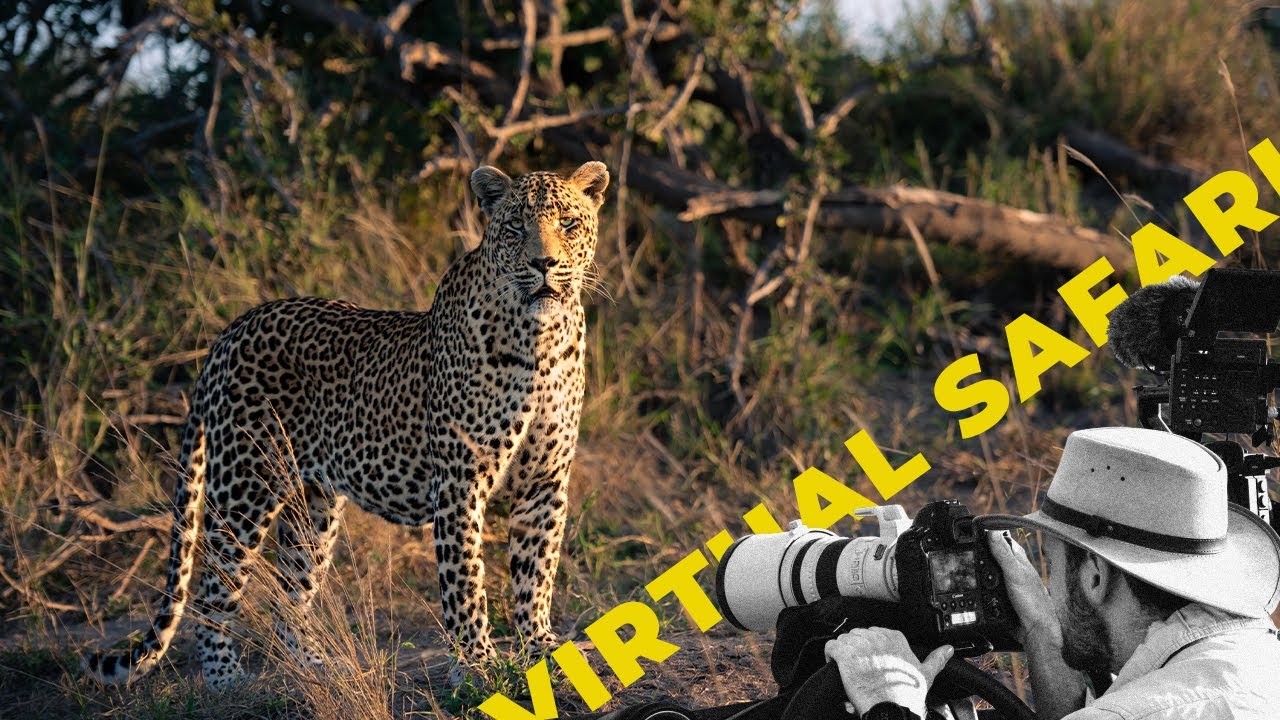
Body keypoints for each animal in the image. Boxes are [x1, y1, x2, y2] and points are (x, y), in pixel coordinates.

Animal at [84, 161, 610, 688]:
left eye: (567, 223)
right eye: (515, 226)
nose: (544, 264)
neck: (541, 338)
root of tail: (230, 330)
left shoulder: (545, 481)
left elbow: (537, 571)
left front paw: (541, 645)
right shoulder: (461, 480)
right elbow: (465, 578)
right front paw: (477, 662)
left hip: (312, 505)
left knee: (288, 595)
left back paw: (318, 667)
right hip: (245, 485)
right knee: (213, 586)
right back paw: (224, 678)